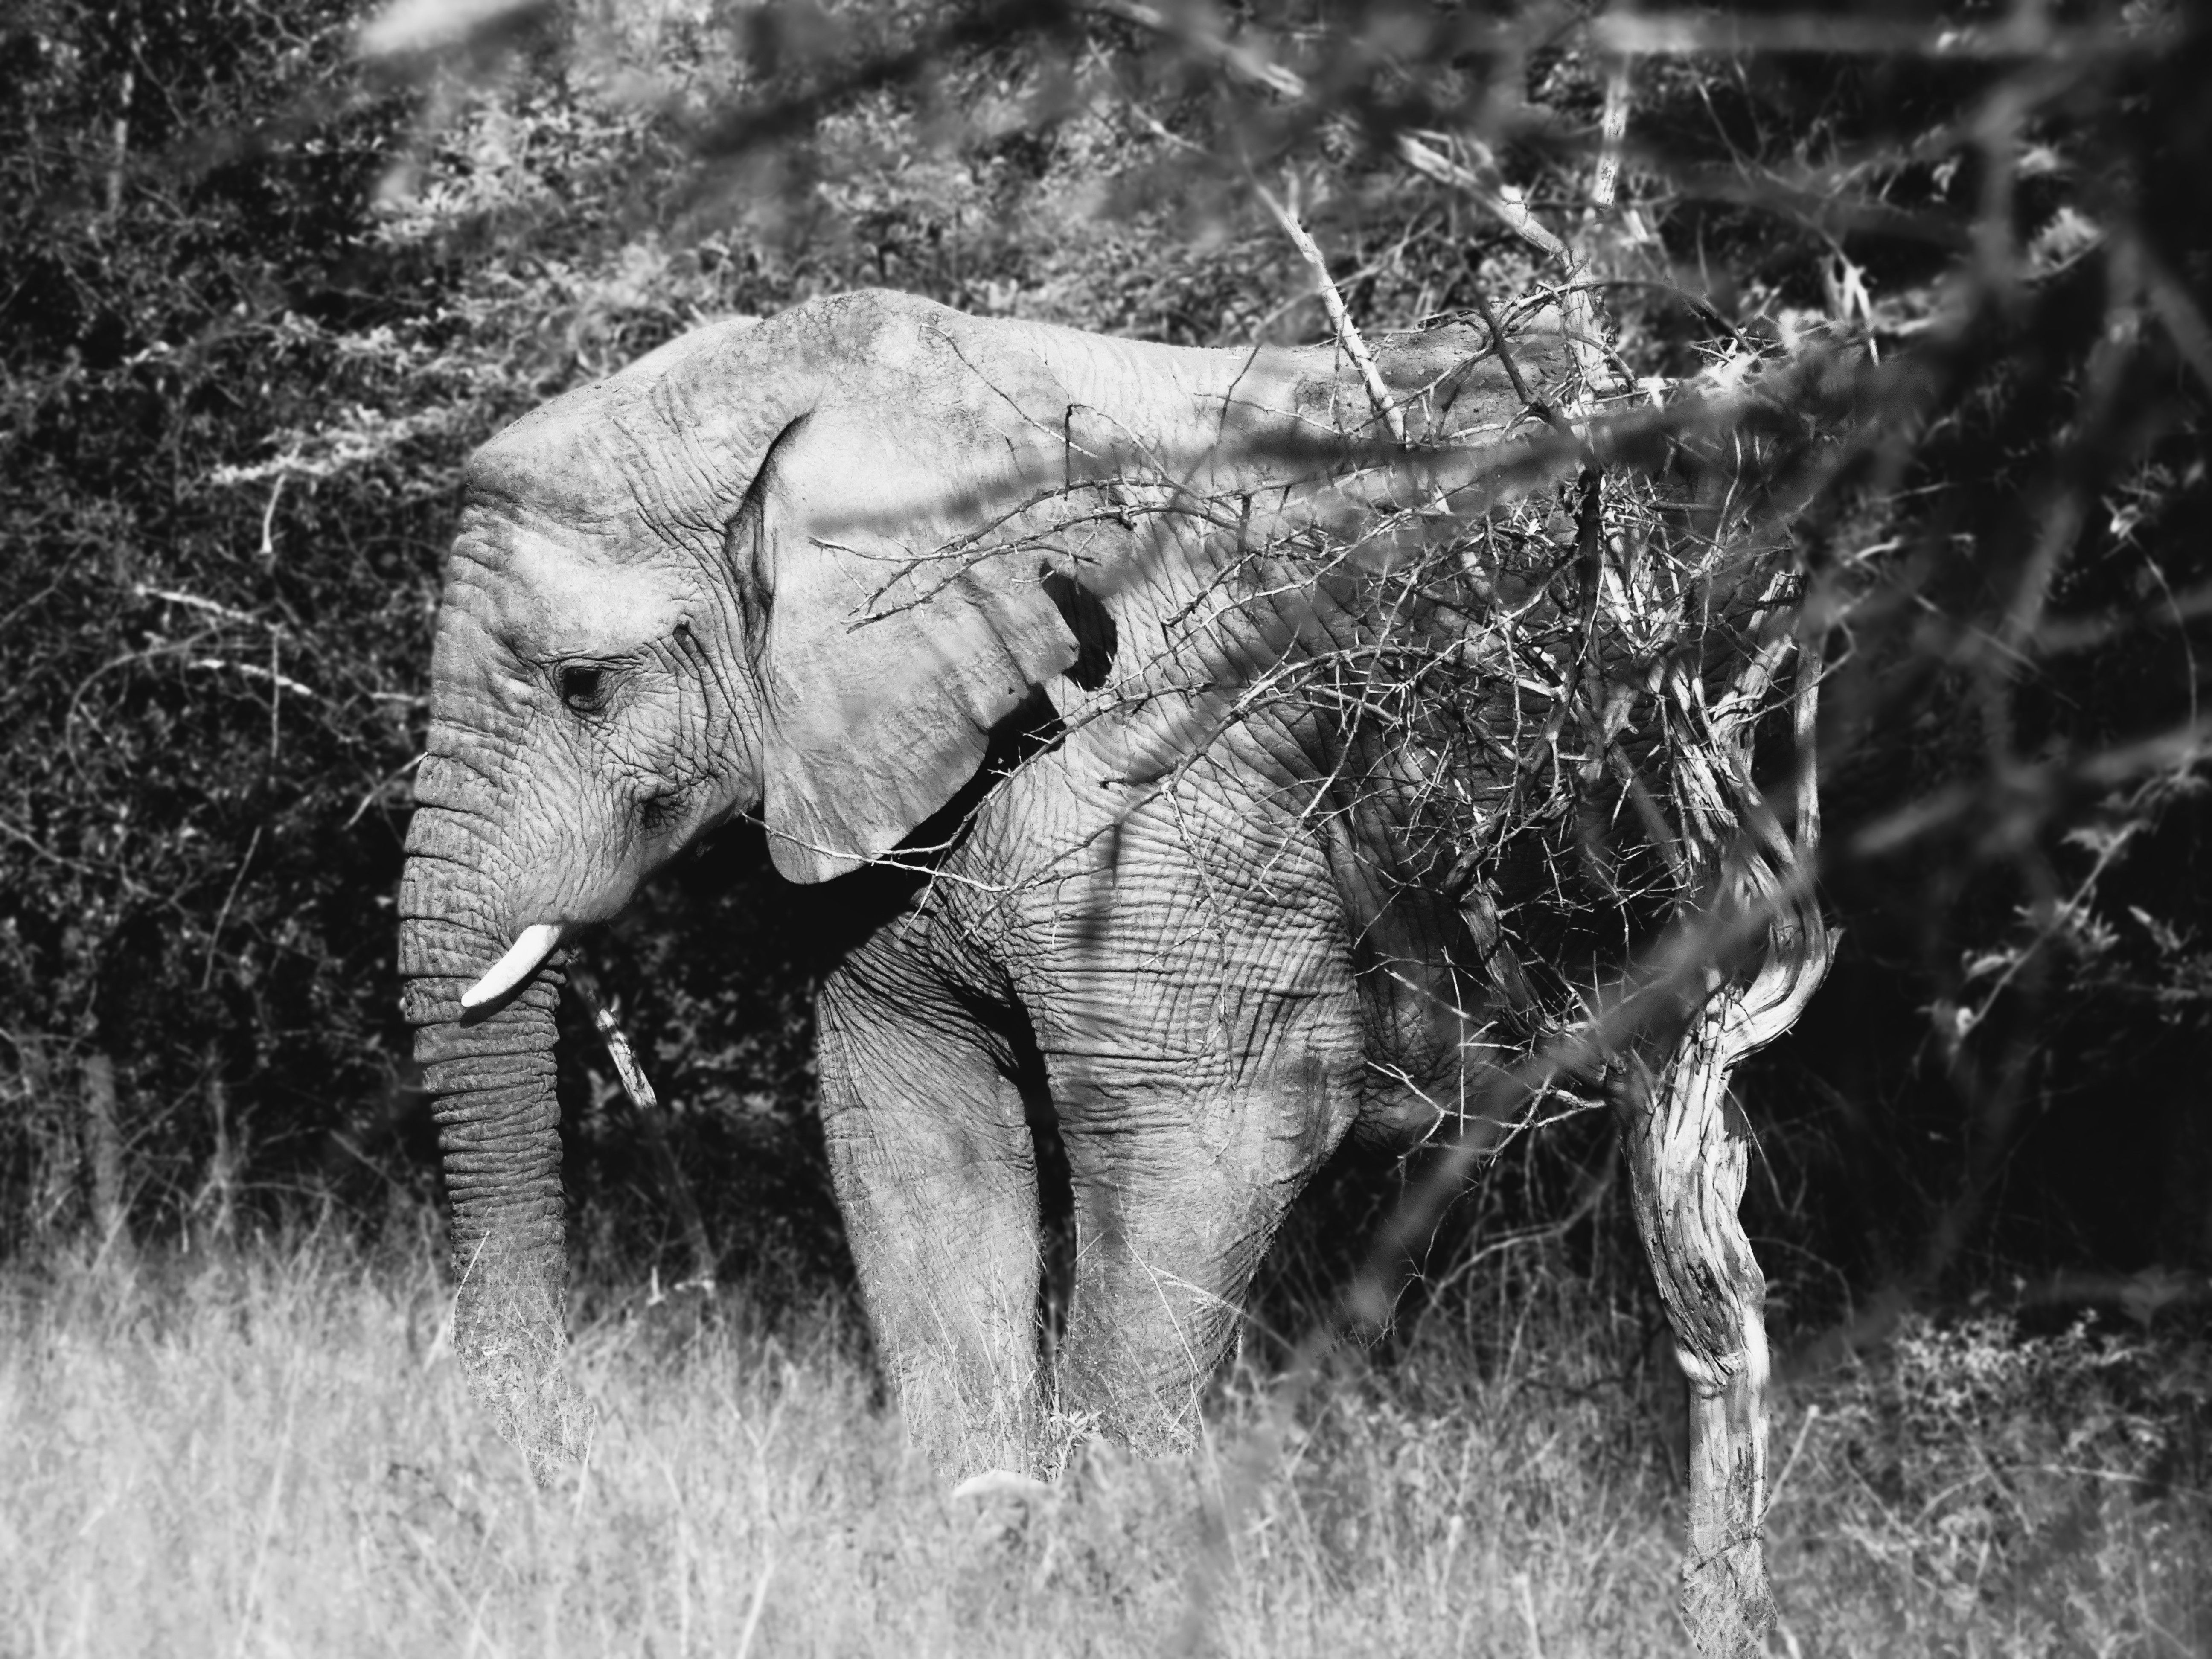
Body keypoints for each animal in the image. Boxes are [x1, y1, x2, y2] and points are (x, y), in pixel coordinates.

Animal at [397, 287, 1577, 1480]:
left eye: (582, 685)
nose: (554, 1448)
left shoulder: (1171, 756)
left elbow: (1219, 1122)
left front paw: (1111, 1521)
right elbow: (919, 1123)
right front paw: (978, 1508)